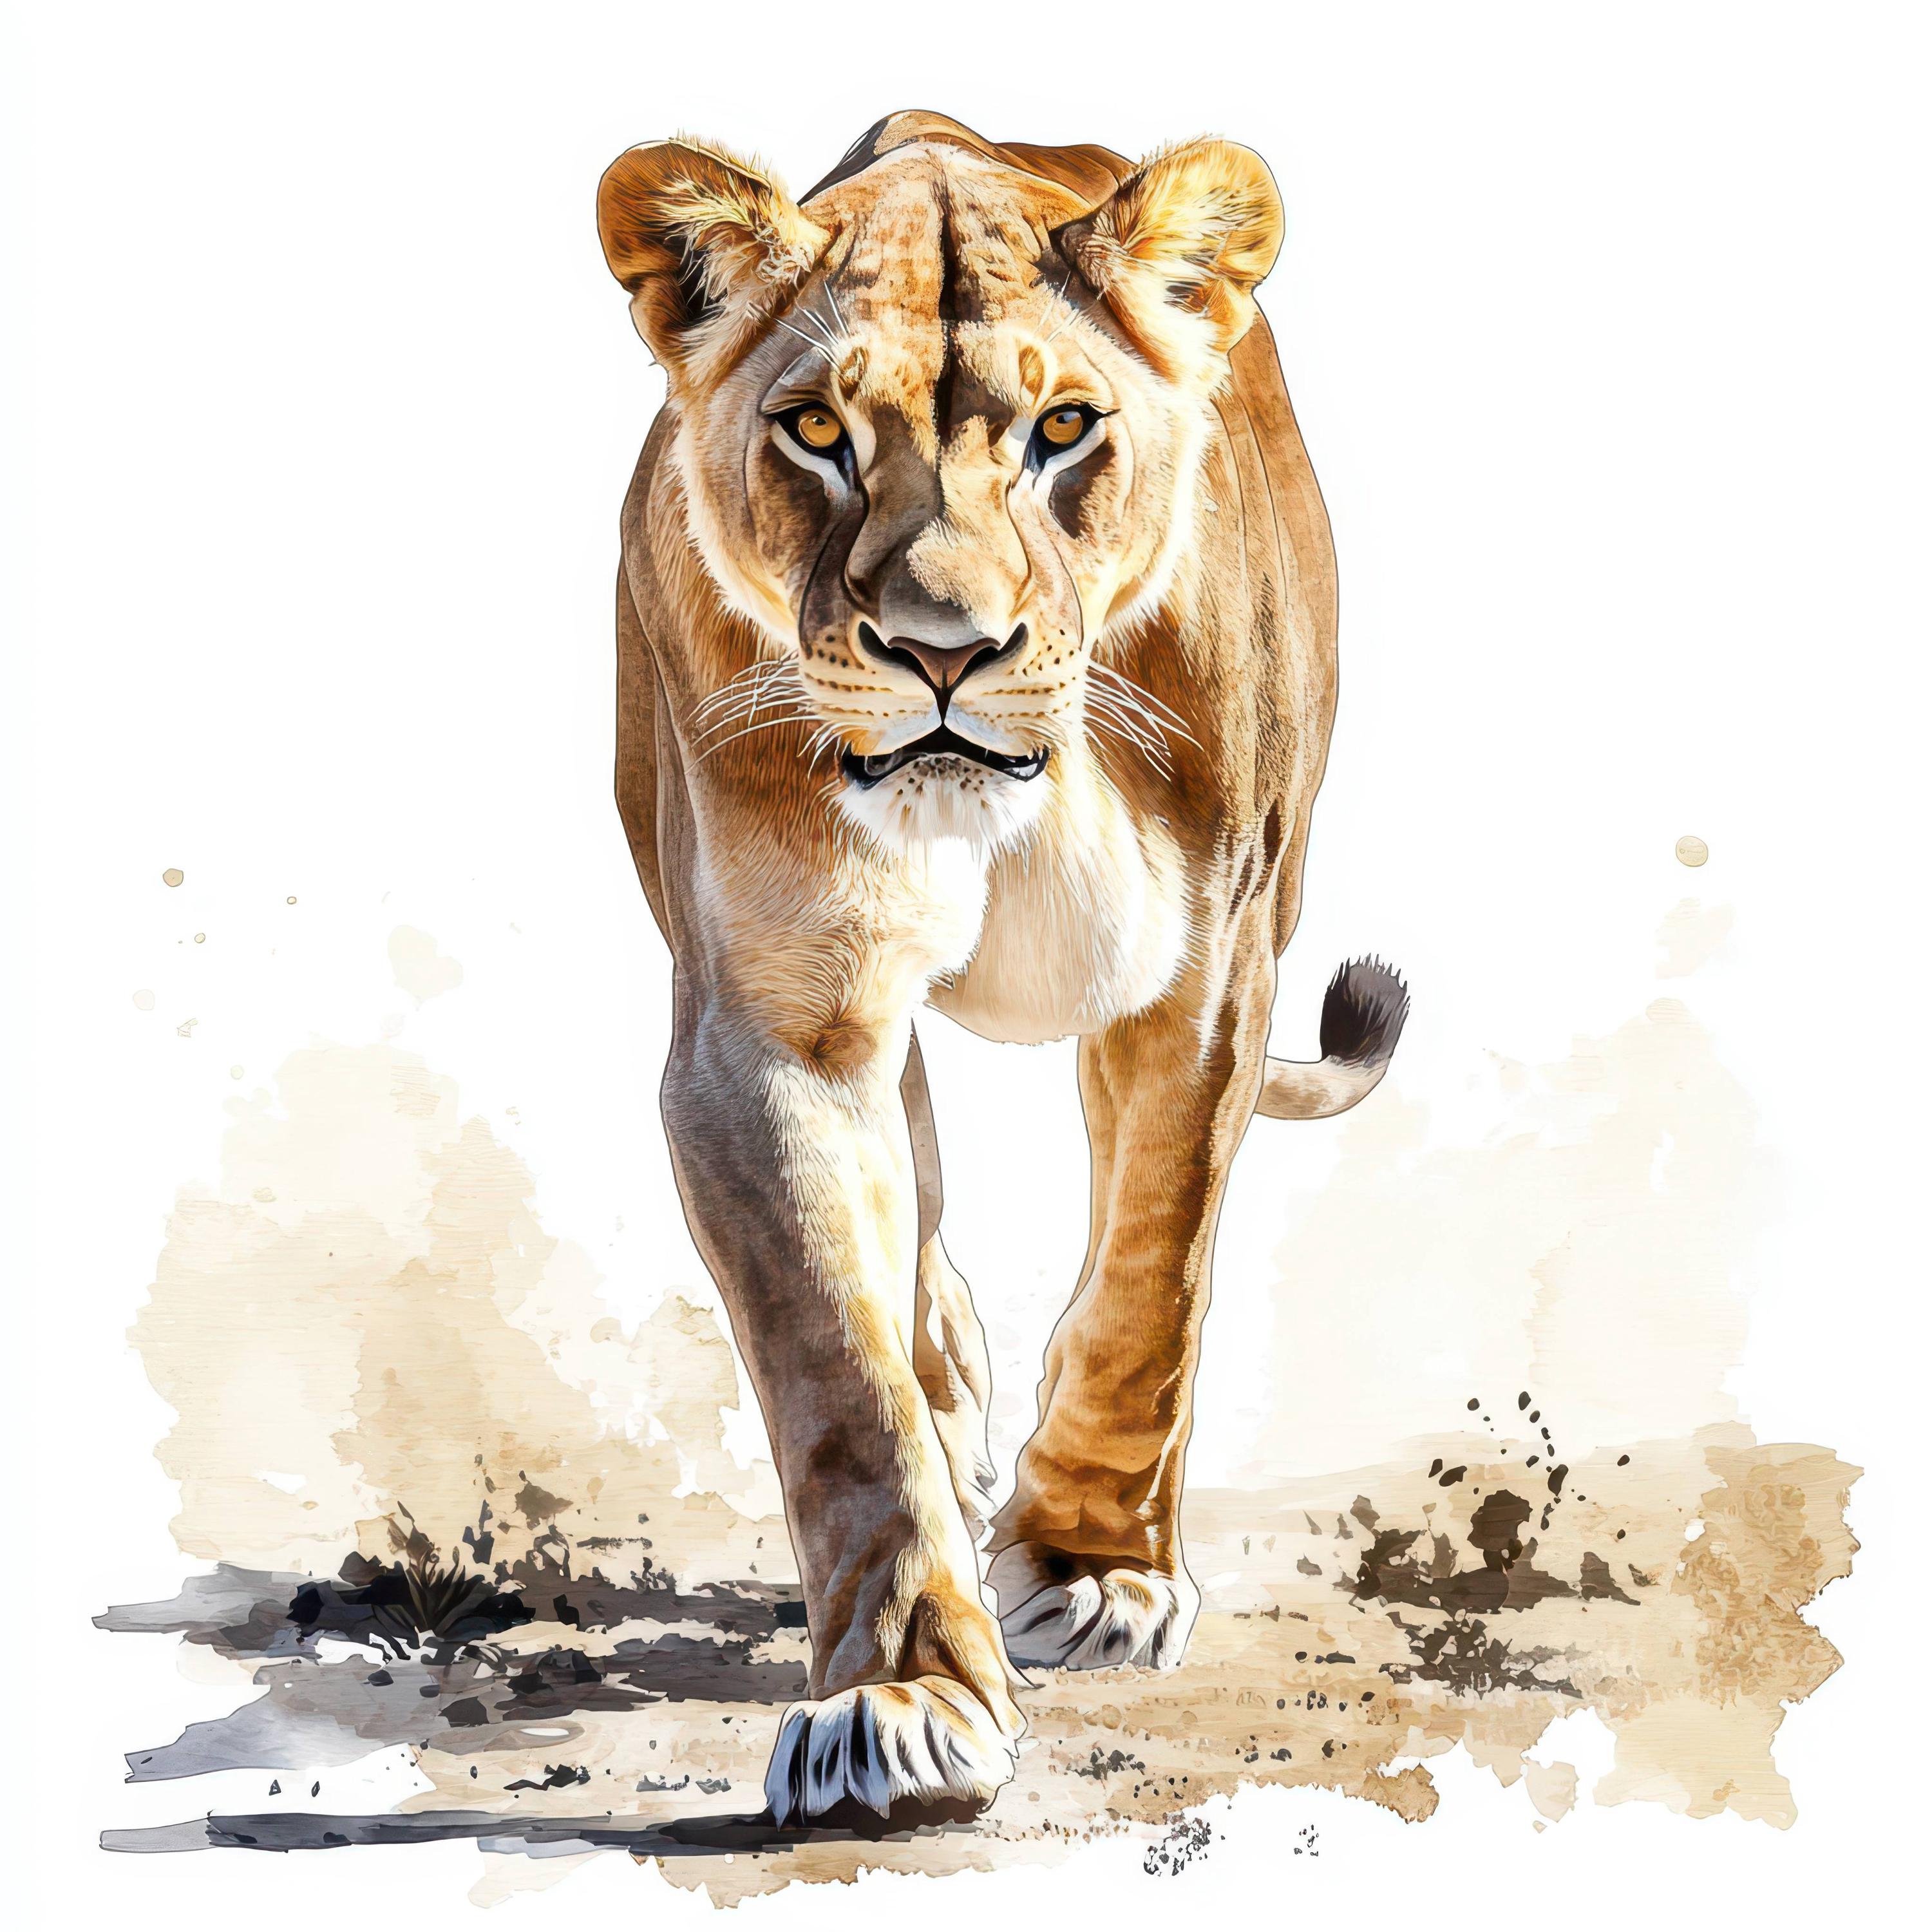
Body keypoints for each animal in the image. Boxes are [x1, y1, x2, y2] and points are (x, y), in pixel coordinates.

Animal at [596, 110, 1406, 1826]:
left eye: (1063, 428)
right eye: (815, 432)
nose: (942, 649)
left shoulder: (1208, 971)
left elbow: (1152, 1282)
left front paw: (1095, 1572)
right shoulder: (770, 1021)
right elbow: (840, 1377)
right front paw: (898, 1697)